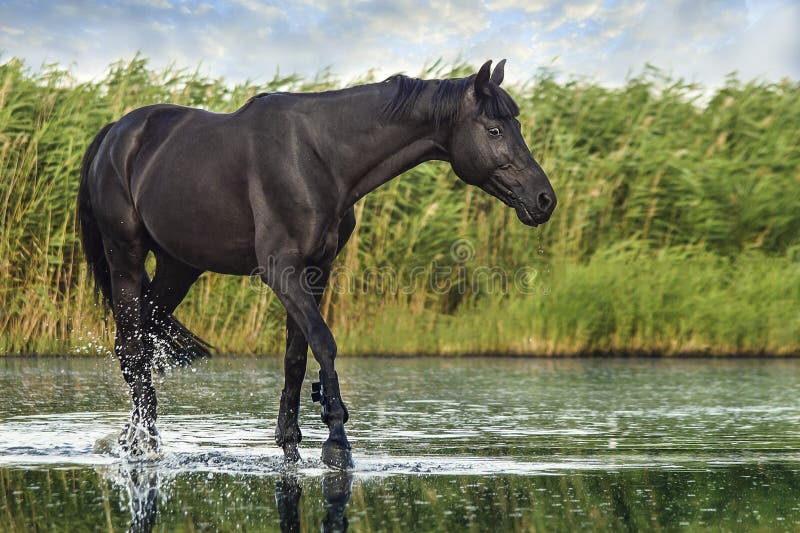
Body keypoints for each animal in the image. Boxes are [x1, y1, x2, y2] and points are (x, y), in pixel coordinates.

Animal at [78, 59, 556, 469]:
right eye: (494, 129)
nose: (544, 199)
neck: (319, 156)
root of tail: (116, 132)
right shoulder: (281, 270)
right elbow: (324, 343)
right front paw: (337, 441)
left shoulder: (316, 271)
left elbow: (296, 355)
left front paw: (291, 443)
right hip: (126, 256)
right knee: (132, 344)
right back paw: (143, 444)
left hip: (179, 266)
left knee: (139, 338)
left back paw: (137, 437)